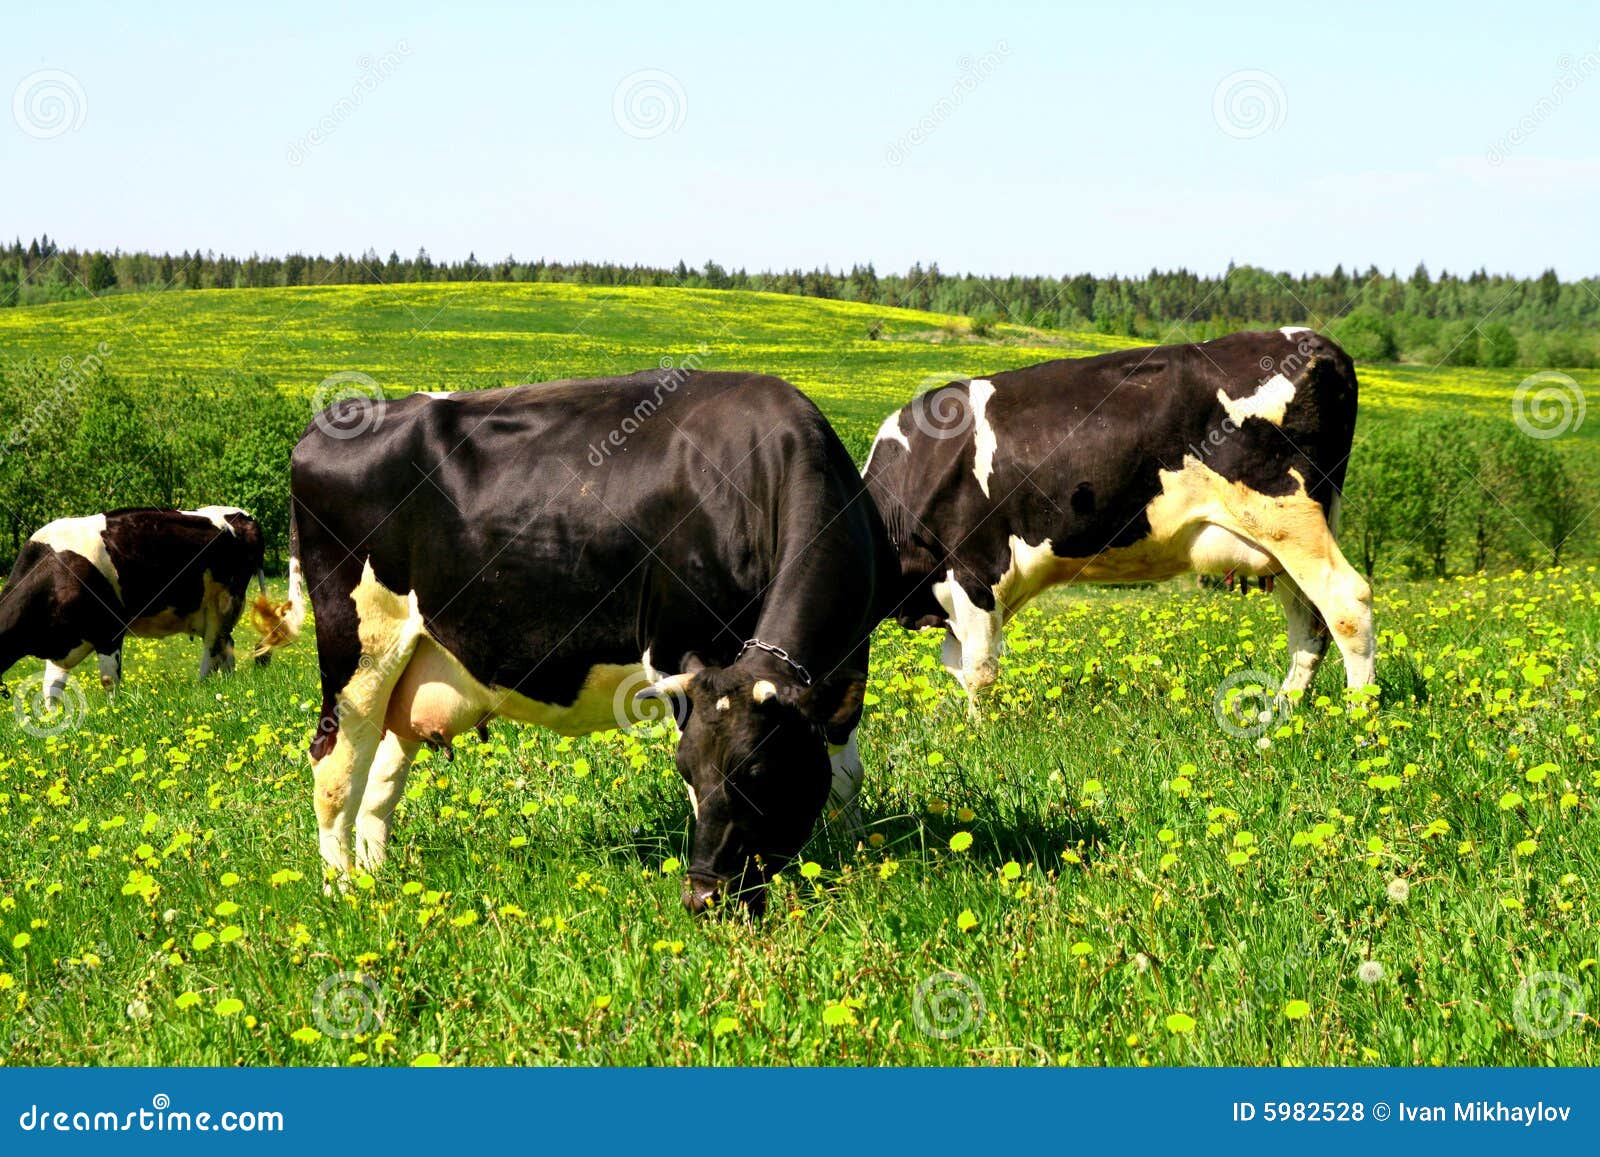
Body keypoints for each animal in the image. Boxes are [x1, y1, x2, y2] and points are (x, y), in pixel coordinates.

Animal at [0, 506, 295, 705]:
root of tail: (242, 516)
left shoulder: (109, 630)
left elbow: (109, 681)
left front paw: (113, 713)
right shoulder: (61, 644)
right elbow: (51, 689)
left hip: (222, 603)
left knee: (212, 650)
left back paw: (202, 687)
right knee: (226, 647)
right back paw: (227, 683)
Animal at [280, 370, 894, 916]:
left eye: (760, 772)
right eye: (685, 769)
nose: (705, 899)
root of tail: (330, 424)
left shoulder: (846, 669)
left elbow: (845, 774)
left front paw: (852, 856)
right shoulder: (681, 652)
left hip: (414, 663)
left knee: (379, 780)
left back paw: (380, 882)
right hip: (358, 645)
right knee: (336, 767)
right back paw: (342, 891)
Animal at [863, 329, 1375, 711]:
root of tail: (1315, 341)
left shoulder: (975, 565)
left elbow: (978, 671)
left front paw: (983, 733)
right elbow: (958, 664)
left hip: (1287, 514)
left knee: (1346, 602)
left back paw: (1359, 713)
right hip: (1284, 536)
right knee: (1308, 622)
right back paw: (1284, 709)